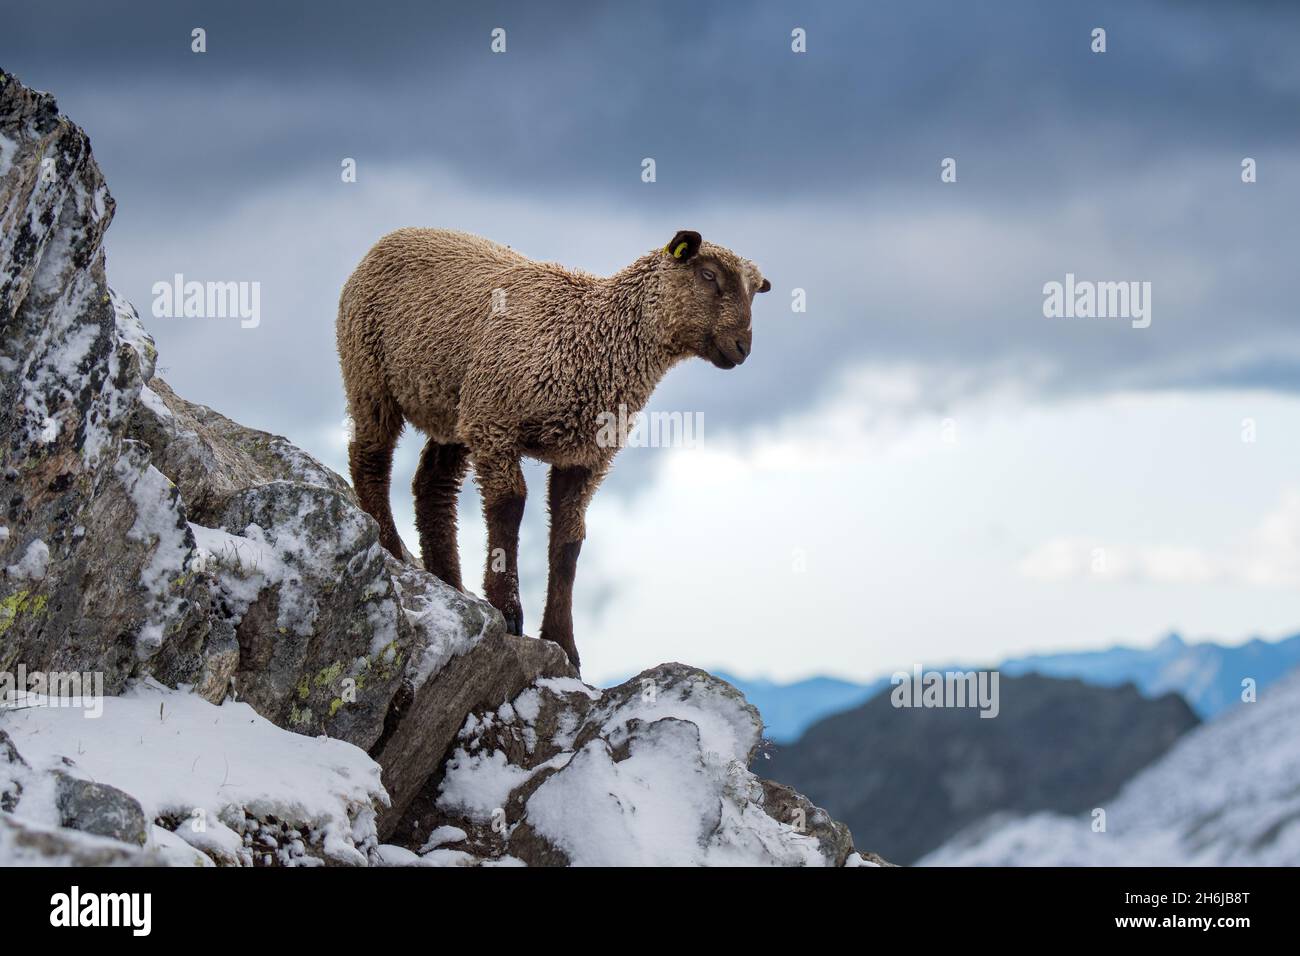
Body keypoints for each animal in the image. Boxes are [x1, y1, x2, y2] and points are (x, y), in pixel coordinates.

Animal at [336, 228, 770, 670]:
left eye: (755, 290)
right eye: (708, 275)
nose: (742, 347)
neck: (592, 337)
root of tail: (391, 238)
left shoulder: (584, 458)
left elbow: (568, 542)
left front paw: (564, 642)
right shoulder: (495, 422)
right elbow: (509, 507)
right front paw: (508, 612)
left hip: (452, 411)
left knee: (432, 485)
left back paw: (448, 581)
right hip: (369, 372)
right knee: (369, 458)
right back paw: (390, 547)